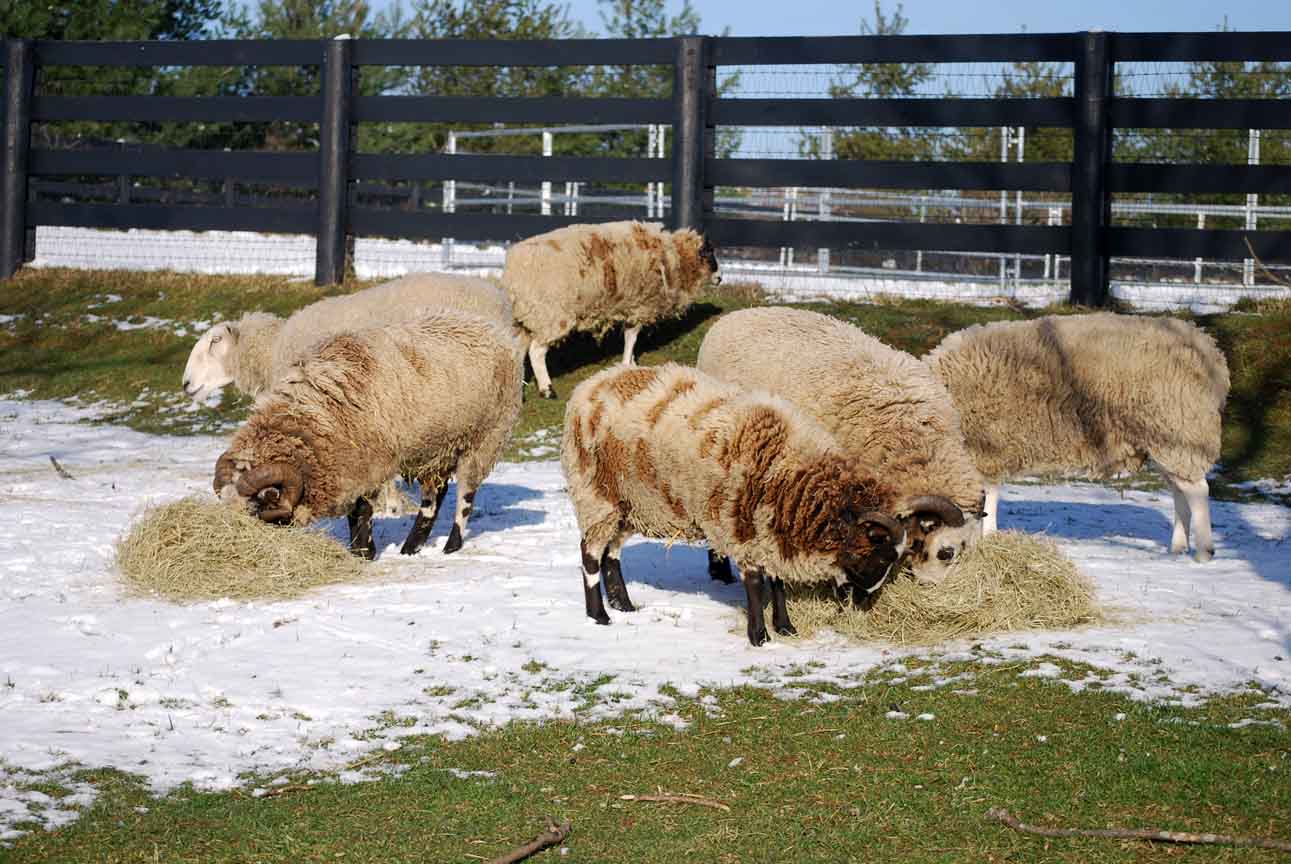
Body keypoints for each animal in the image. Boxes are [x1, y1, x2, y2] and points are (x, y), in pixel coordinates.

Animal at [213, 309, 522, 560]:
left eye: (255, 506)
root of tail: (494, 331)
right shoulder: (351, 467)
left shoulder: (371, 465)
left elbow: (361, 510)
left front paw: (364, 552)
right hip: (436, 446)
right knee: (435, 495)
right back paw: (411, 547)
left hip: (484, 438)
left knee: (465, 495)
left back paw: (451, 545)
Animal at [500, 220, 719, 400]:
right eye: (708, 253)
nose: (720, 278)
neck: (674, 258)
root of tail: (514, 271)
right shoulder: (639, 305)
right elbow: (631, 338)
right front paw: (626, 364)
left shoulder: (631, 307)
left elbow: (631, 338)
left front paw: (632, 363)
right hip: (551, 315)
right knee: (536, 351)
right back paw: (547, 389)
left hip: (527, 318)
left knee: (519, 350)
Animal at [561, 362, 906, 646]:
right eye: (878, 552)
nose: (861, 602)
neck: (788, 470)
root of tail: (588, 386)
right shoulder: (740, 526)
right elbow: (754, 584)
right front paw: (759, 636)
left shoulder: (768, 529)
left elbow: (777, 582)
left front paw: (785, 627)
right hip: (595, 494)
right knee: (590, 554)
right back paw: (600, 615)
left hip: (629, 504)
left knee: (611, 553)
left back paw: (625, 605)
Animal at [924, 312, 1230, 561]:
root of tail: (1210, 350)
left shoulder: (987, 447)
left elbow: (989, 496)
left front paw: (987, 536)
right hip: (1165, 440)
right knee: (1180, 491)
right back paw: (1177, 548)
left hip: (1179, 429)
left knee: (1198, 491)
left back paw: (1204, 551)